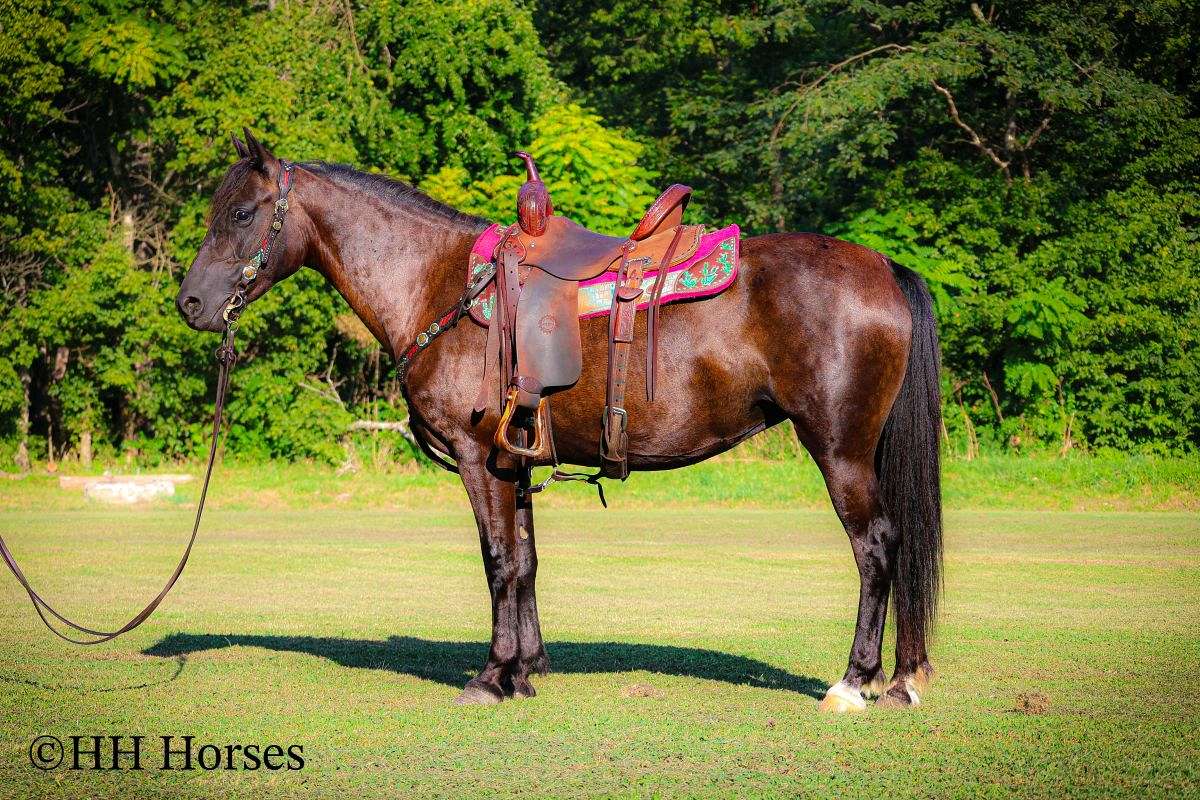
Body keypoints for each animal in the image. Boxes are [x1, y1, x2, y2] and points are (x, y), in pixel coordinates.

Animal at [176, 131, 943, 712]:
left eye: (241, 214)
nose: (190, 303)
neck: (439, 284)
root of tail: (884, 268)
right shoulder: (513, 459)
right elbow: (525, 560)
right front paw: (526, 667)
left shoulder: (477, 457)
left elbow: (497, 559)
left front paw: (492, 676)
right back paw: (901, 679)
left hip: (841, 452)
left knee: (877, 547)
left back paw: (853, 682)